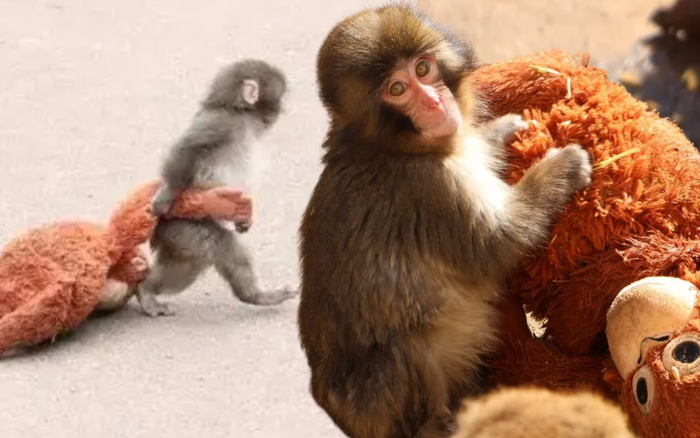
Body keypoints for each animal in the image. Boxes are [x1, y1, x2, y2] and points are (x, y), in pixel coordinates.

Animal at [135, 59, 298, 317]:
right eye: (279, 98)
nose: (281, 111)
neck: (241, 115)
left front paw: (244, 220)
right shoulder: (221, 123)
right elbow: (188, 149)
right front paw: (165, 195)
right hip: (185, 227)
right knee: (215, 249)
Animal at [296, 4, 593, 438]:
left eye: (423, 68)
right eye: (397, 89)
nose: (435, 104)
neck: (391, 147)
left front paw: (502, 131)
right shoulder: (429, 189)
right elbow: (496, 245)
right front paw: (562, 167)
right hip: (376, 406)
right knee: (403, 349)